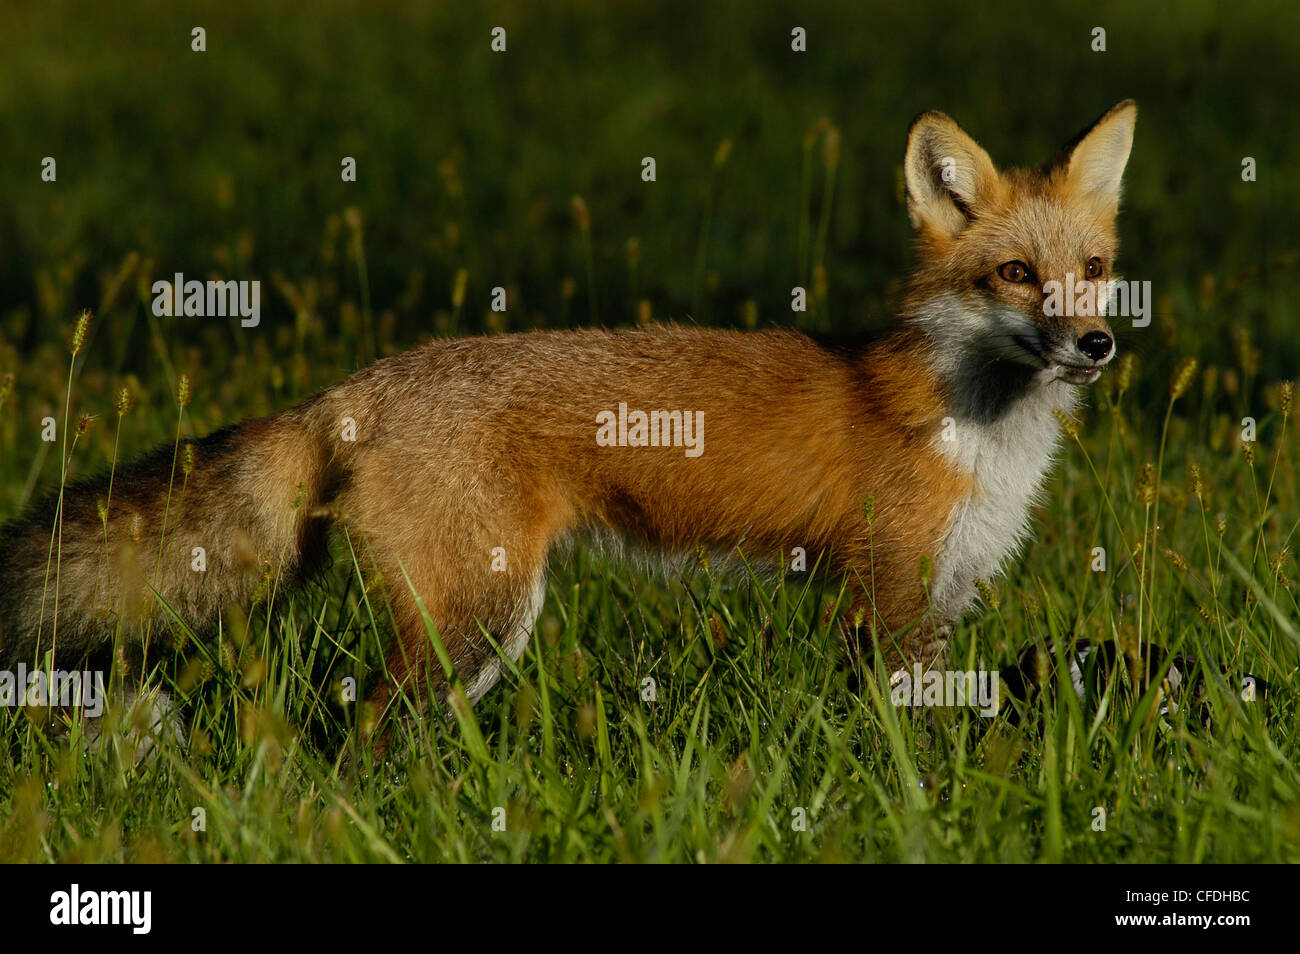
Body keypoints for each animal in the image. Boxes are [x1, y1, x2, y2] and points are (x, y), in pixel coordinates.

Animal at [0, 100, 1136, 730]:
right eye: (1015, 274)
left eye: (1092, 270)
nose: (1095, 345)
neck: (980, 431)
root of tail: (360, 383)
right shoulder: (884, 601)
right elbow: (894, 749)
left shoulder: (943, 607)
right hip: (479, 616)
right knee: (363, 735)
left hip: (485, 627)